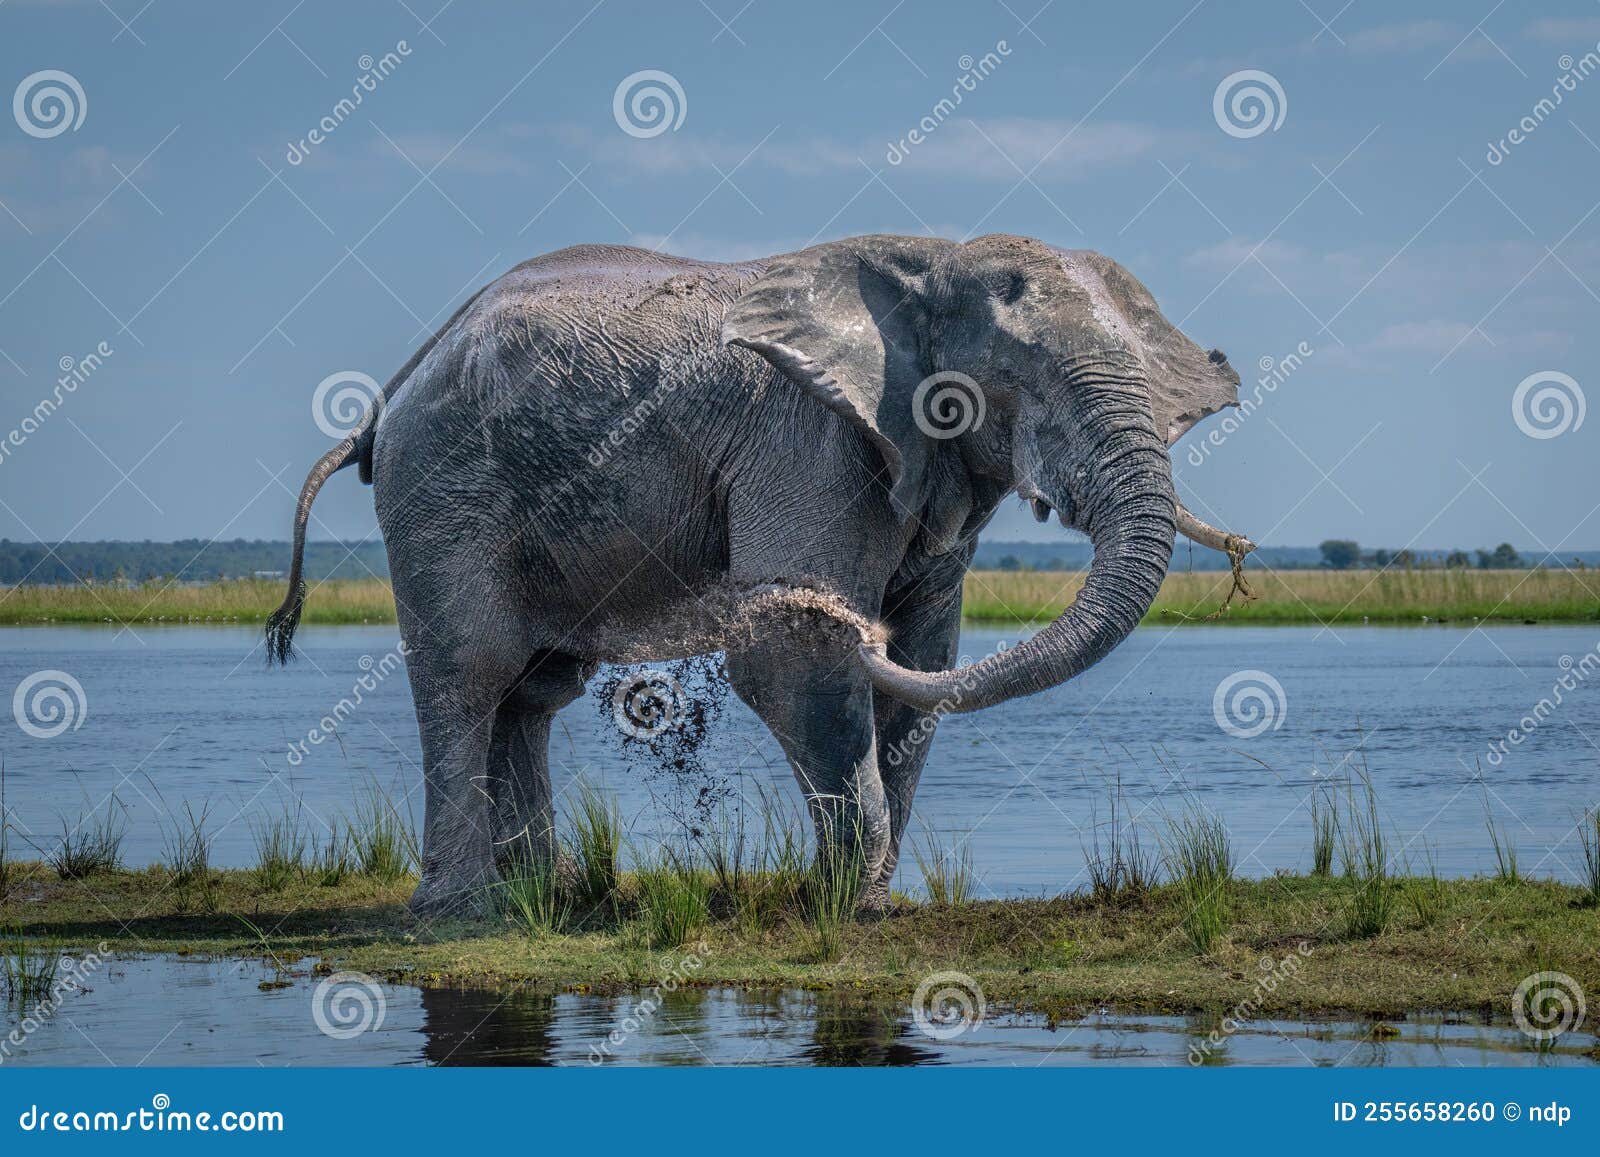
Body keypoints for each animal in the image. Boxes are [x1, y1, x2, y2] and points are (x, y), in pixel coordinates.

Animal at [266, 233, 1254, 917]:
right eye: (1020, 382)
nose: (854, 623)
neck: (930, 260)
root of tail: (389, 397)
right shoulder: (808, 440)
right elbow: (788, 657)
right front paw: (847, 902)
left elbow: (925, 660)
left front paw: (871, 895)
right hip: (445, 488)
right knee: (470, 671)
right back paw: (464, 908)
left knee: (533, 690)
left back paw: (547, 895)